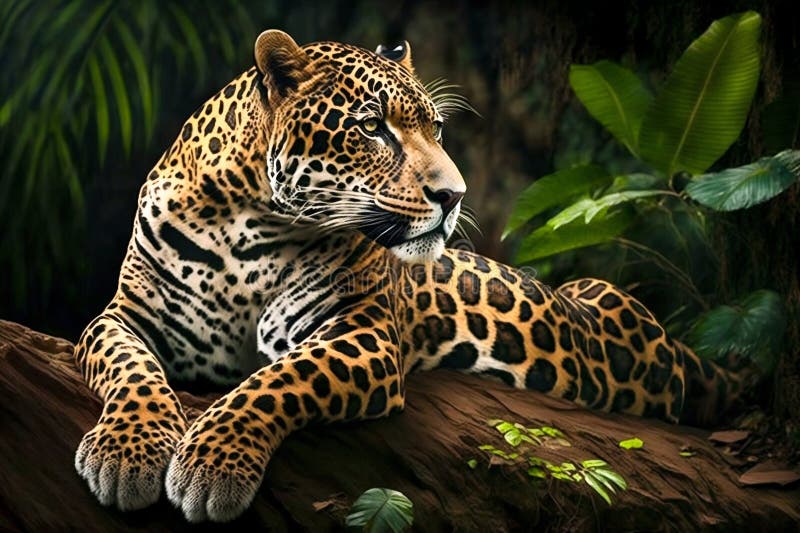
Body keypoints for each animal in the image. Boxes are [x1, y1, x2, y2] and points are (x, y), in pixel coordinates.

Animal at [73, 30, 743, 522]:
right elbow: (132, 373)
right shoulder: (122, 317)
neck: (251, 224)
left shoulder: (360, 333)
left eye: (436, 129)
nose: (454, 196)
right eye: (372, 128)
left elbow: (275, 381)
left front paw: (214, 463)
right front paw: (127, 453)